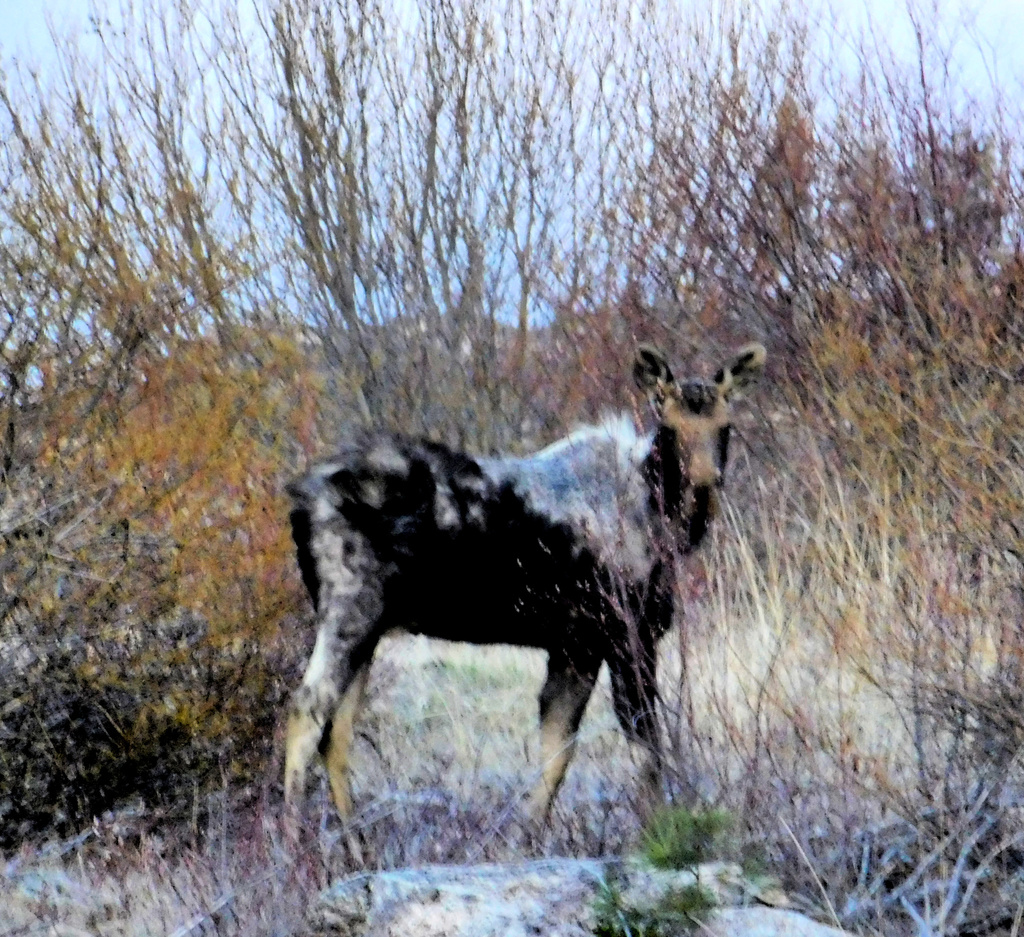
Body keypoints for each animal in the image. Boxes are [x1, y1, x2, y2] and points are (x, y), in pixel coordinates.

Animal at [283, 342, 766, 820]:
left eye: (725, 425)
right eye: (668, 425)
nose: (705, 484)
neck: (657, 514)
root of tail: (299, 498)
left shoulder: (576, 647)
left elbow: (555, 758)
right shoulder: (626, 636)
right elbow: (646, 752)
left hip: (370, 629)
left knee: (336, 736)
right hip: (350, 609)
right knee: (306, 712)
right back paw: (293, 837)